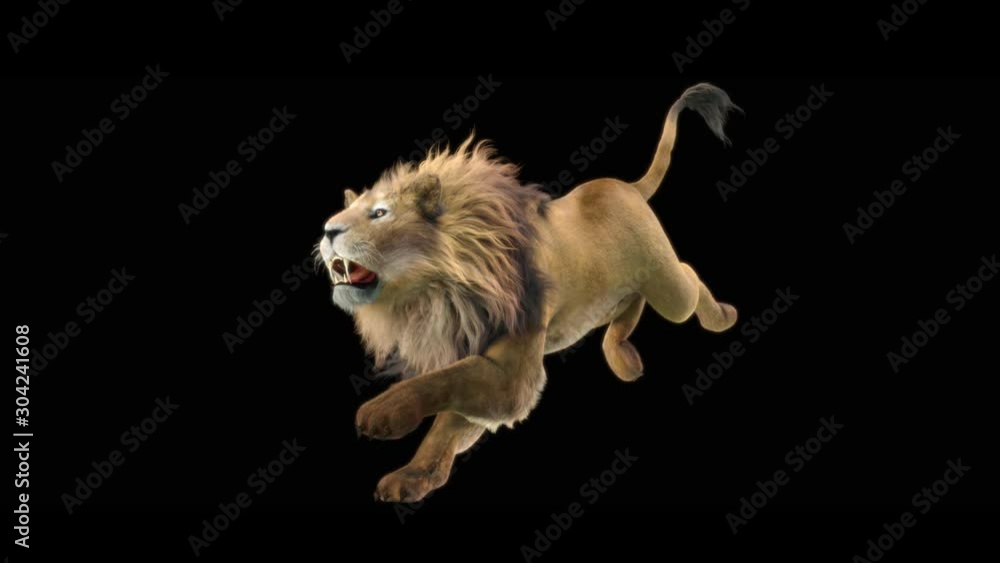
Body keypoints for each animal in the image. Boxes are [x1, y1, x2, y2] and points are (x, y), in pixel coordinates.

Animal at [319, 83, 740, 502]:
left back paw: (722, 317)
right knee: (629, 305)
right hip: (599, 300)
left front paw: (383, 413)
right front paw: (414, 476)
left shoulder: (511, 375)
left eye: (379, 213)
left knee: (687, 278)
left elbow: (444, 381)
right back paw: (625, 360)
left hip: (667, 288)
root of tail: (626, 186)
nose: (326, 231)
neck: (439, 290)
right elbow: (447, 428)